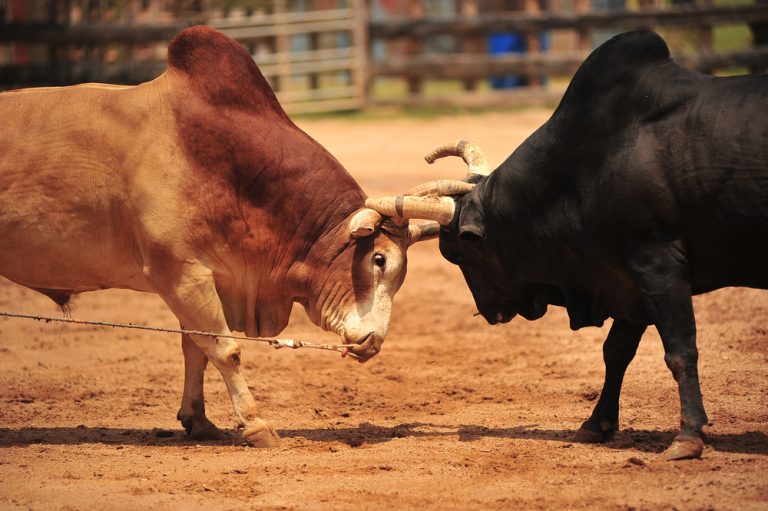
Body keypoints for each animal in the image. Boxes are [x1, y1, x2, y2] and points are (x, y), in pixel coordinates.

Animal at [0, 26, 440, 447]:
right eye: (379, 259)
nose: (373, 341)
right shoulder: (181, 273)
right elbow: (225, 349)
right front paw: (257, 426)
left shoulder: (198, 280)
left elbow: (195, 347)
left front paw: (198, 420)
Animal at [366, 30, 768, 460]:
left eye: (456, 254)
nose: (488, 311)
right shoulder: (627, 279)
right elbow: (616, 351)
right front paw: (596, 424)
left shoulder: (657, 264)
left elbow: (679, 350)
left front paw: (688, 435)